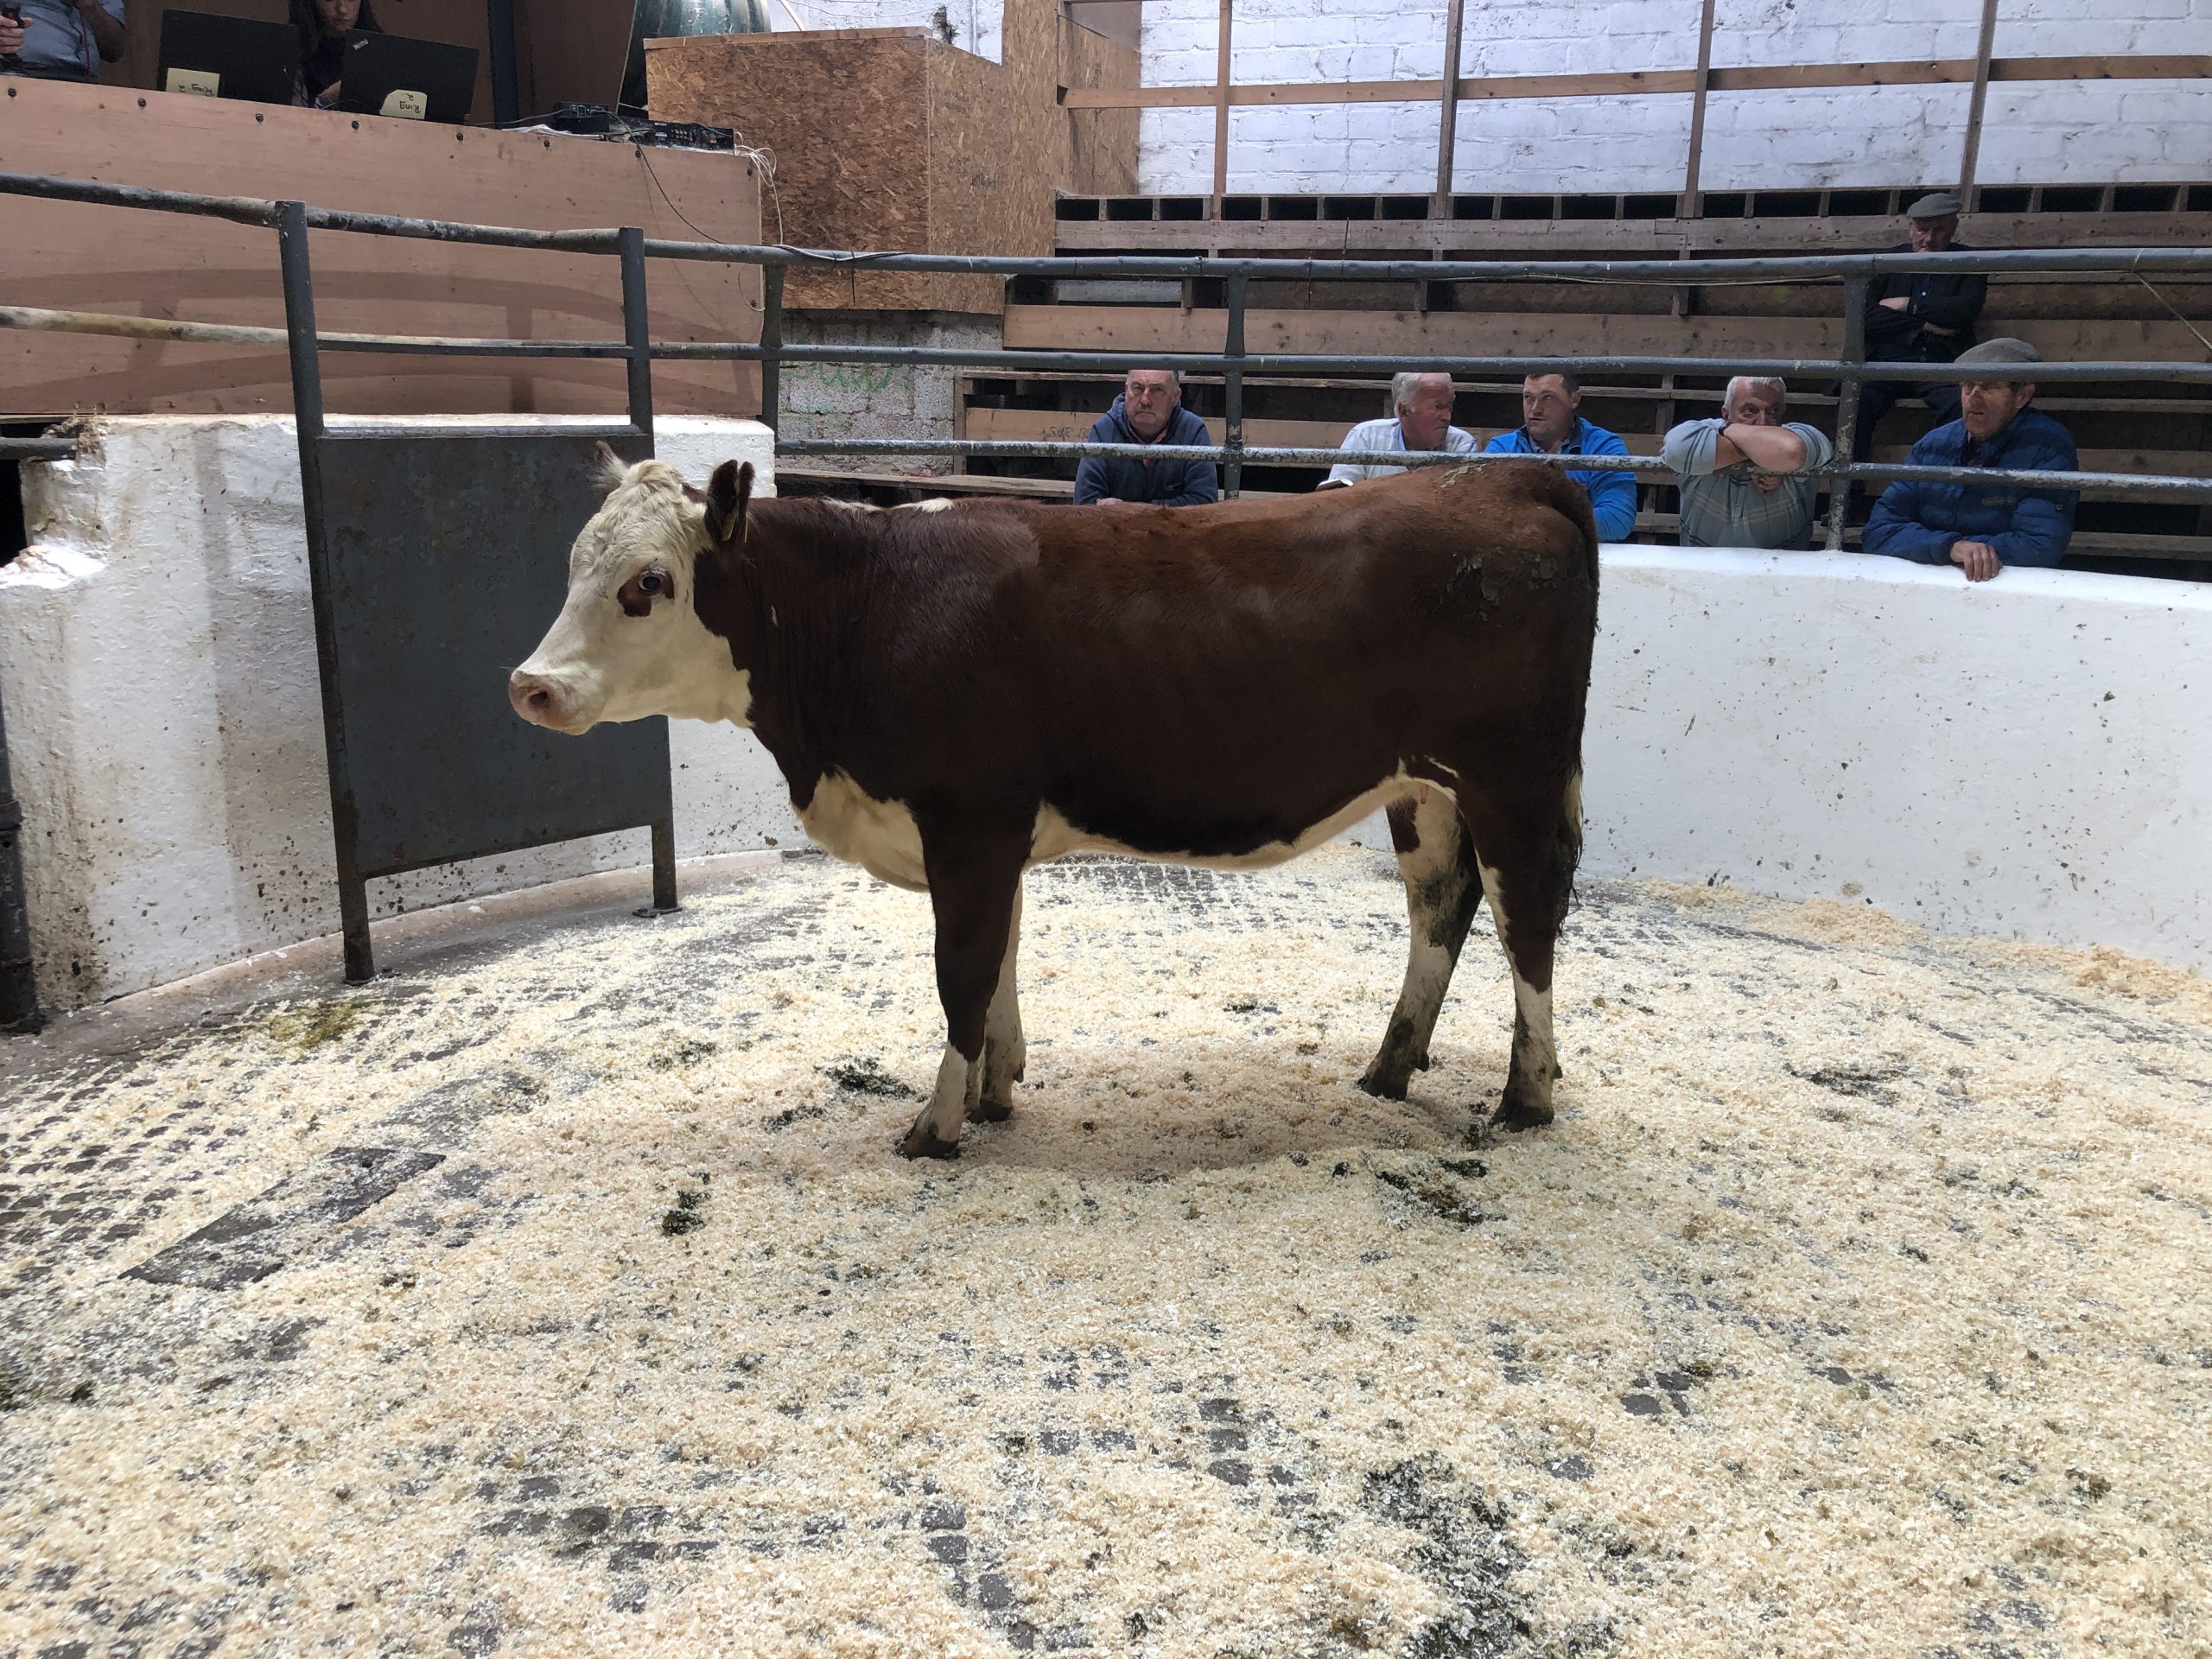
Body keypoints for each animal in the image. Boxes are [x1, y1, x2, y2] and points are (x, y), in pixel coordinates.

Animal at [510, 448, 1599, 1159]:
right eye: (571, 567)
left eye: (647, 583)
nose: (531, 686)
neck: (867, 601)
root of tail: (1500, 476)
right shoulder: (991, 837)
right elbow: (998, 962)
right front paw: (996, 1090)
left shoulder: (967, 819)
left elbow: (960, 972)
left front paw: (936, 1126)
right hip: (1423, 787)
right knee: (1440, 909)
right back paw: (1390, 1067)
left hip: (1510, 779)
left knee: (1528, 918)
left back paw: (1525, 1097)